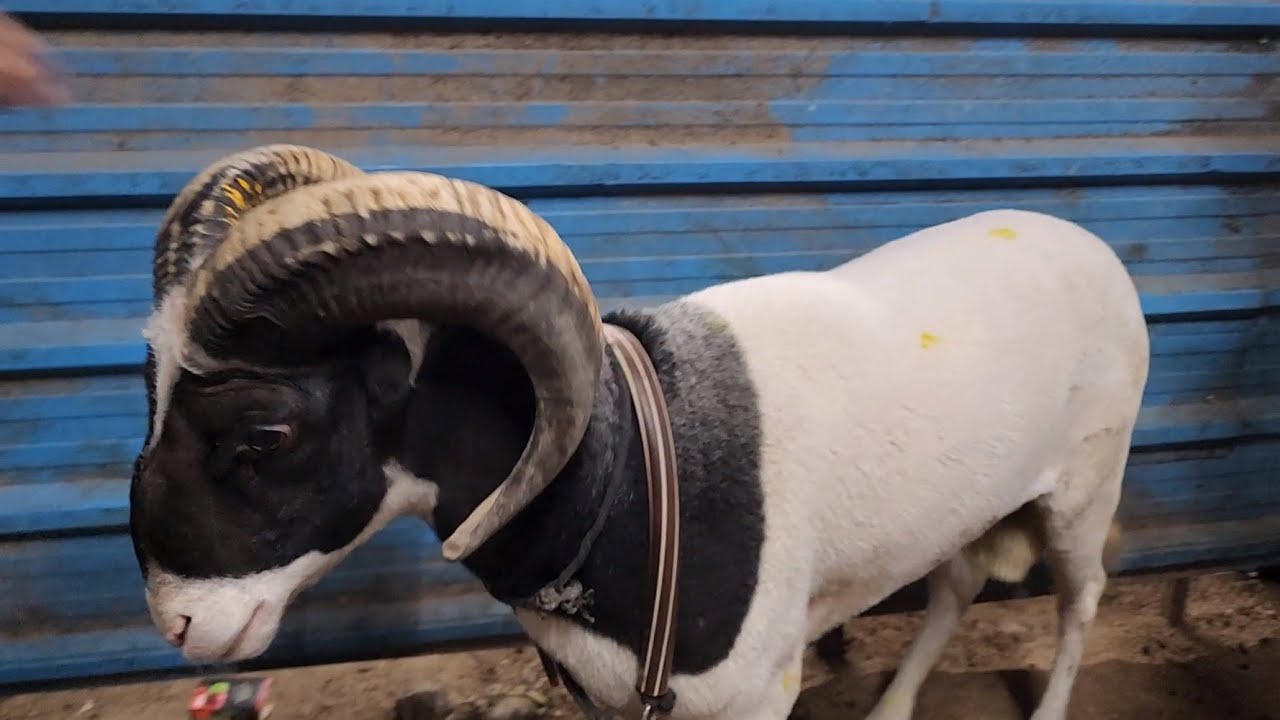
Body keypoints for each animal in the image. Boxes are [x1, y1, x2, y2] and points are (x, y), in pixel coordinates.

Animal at [128, 144, 1150, 720]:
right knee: (957, 585)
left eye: (263, 434)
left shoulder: (754, 698)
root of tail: (1088, 246)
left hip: (1083, 492)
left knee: (1082, 597)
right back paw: (893, 708)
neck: (636, 480)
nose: (180, 624)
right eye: (148, 390)